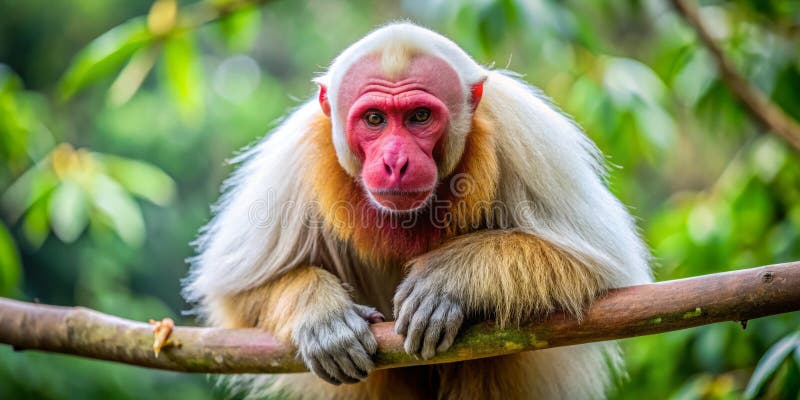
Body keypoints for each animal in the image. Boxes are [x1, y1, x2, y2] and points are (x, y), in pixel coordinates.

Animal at [183, 22, 652, 399]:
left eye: (420, 116)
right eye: (374, 119)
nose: (395, 161)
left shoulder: (524, 130)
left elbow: (600, 270)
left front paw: (450, 280)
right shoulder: (295, 156)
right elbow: (237, 297)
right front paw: (320, 316)